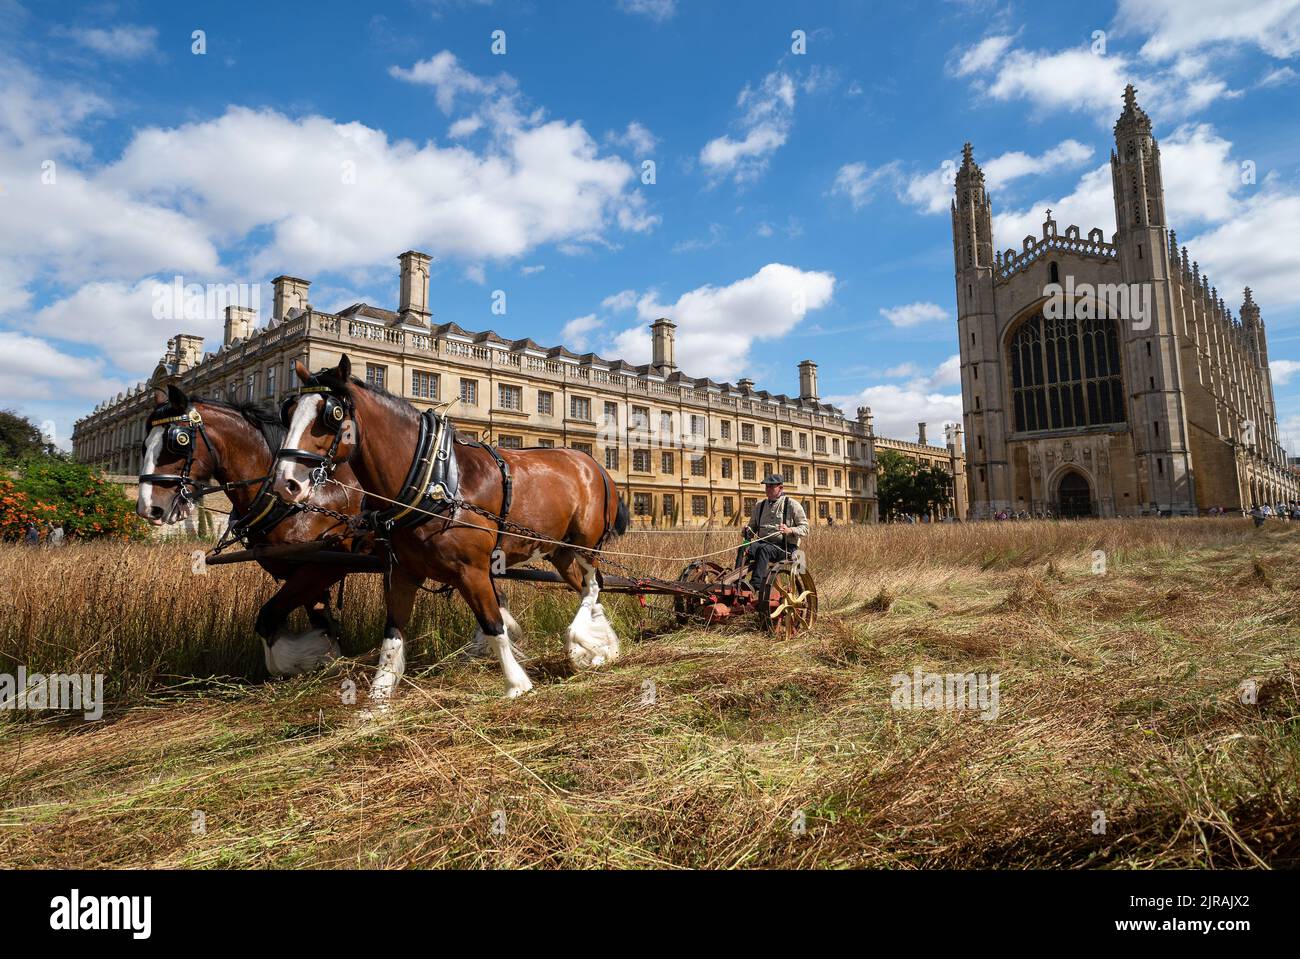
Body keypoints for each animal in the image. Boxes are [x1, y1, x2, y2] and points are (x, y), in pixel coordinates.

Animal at [137, 384, 366, 675]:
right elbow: (322, 623)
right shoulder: (305, 569)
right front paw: (327, 659)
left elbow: (269, 619)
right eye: (144, 446)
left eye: (178, 442)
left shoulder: (328, 563)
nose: (148, 508)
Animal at [270, 354, 630, 703]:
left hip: (585, 546)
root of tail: (594, 465)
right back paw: (601, 647)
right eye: (289, 412)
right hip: (560, 552)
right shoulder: (400, 574)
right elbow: (392, 635)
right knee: (590, 590)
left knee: (592, 587)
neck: (432, 480)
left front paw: (517, 684)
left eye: (331, 414)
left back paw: (581, 642)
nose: (285, 483)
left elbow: (493, 624)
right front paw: (377, 698)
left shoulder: (472, 571)